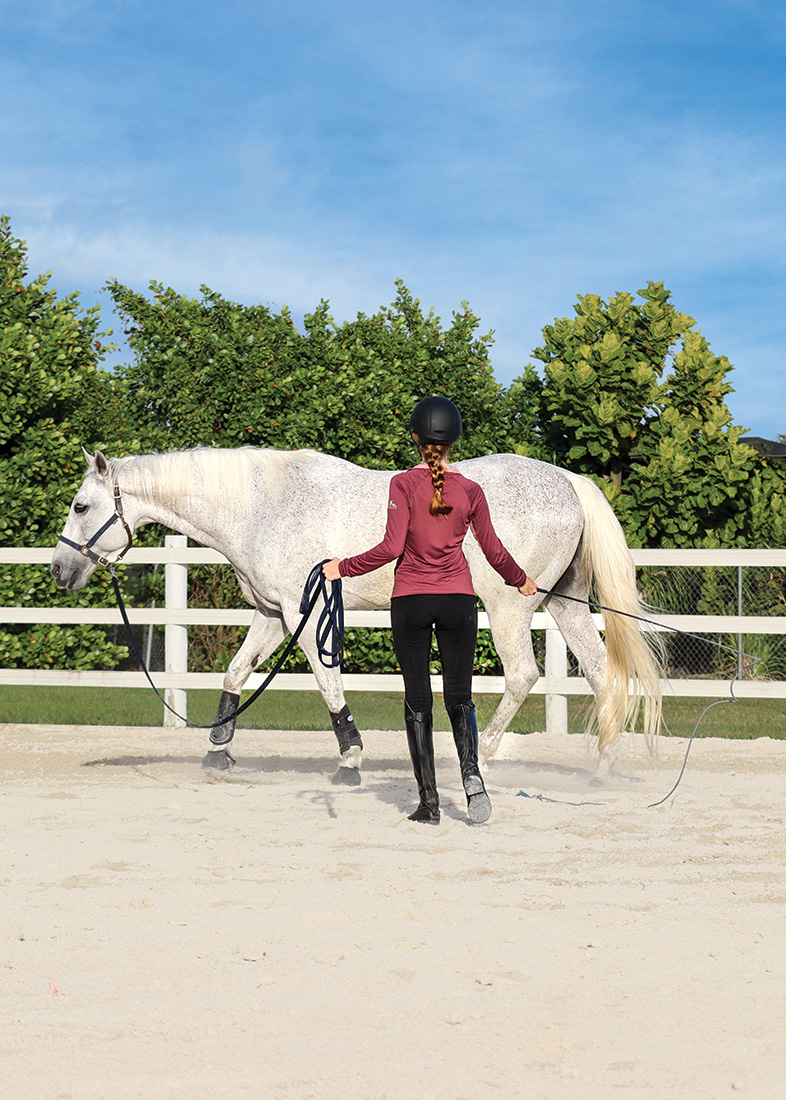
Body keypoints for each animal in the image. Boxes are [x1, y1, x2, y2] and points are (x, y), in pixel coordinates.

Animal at [50, 446, 662, 781]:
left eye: (81, 506)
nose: (59, 569)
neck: (262, 506)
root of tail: (568, 482)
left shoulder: (306, 611)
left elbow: (328, 683)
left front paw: (350, 759)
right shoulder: (273, 614)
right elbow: (235, 673)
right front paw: (217, 753)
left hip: (510, 606)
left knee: (523, 676)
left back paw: (483, 758)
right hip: (563, 605)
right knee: (600, 674)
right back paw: (603, 765)